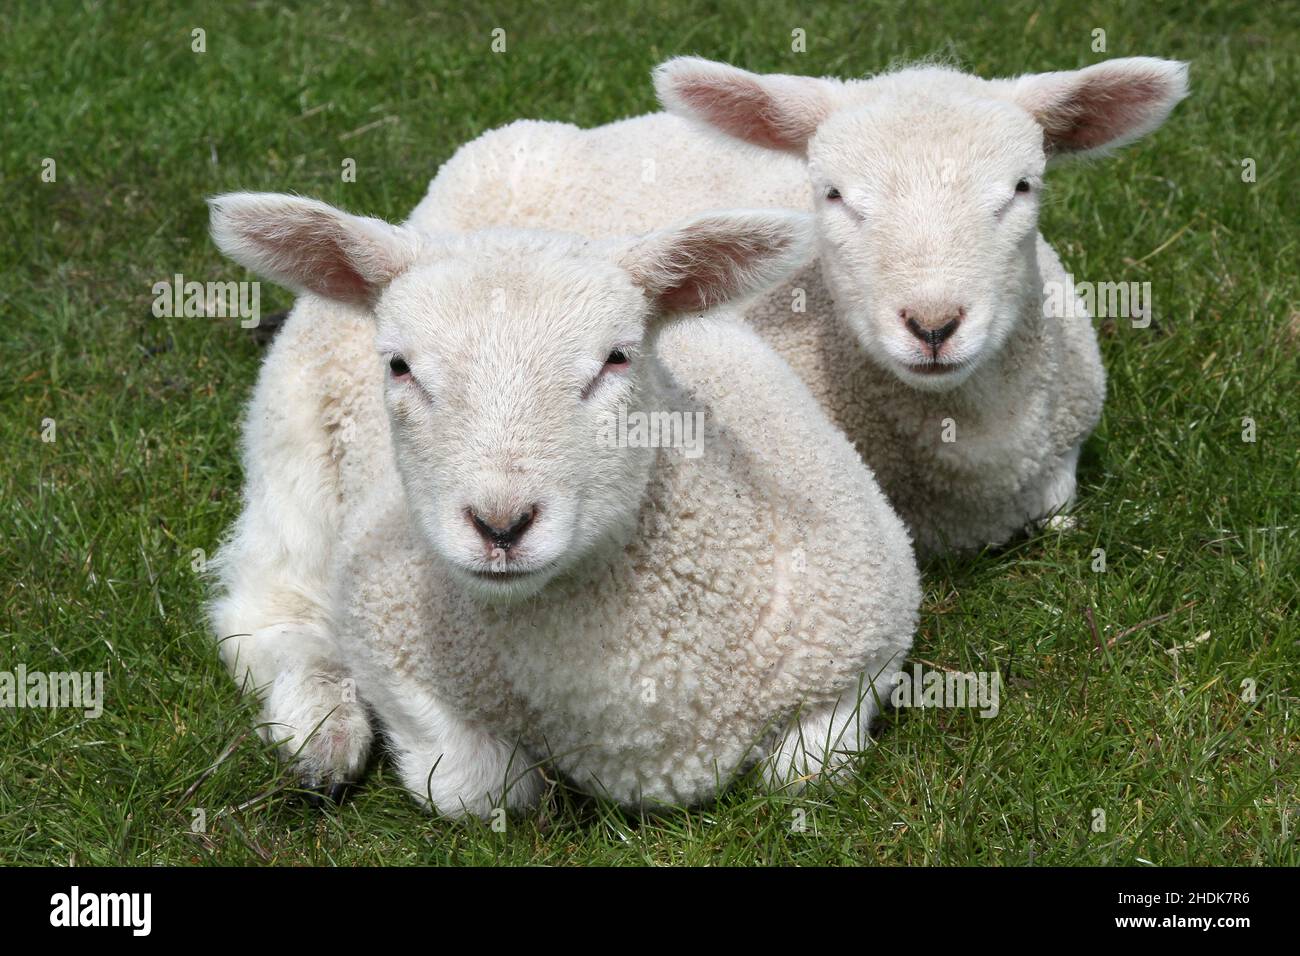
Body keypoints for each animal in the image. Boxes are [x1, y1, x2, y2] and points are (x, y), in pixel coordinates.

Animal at [207, 192, 921, 812]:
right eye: (399, 366)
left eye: (618, 358)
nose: (501, 525)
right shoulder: (382, 639)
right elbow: (475, 788)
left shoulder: (872, 636)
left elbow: (807, 773)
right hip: (290, 446)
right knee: (271, 611)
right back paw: (323, 732)